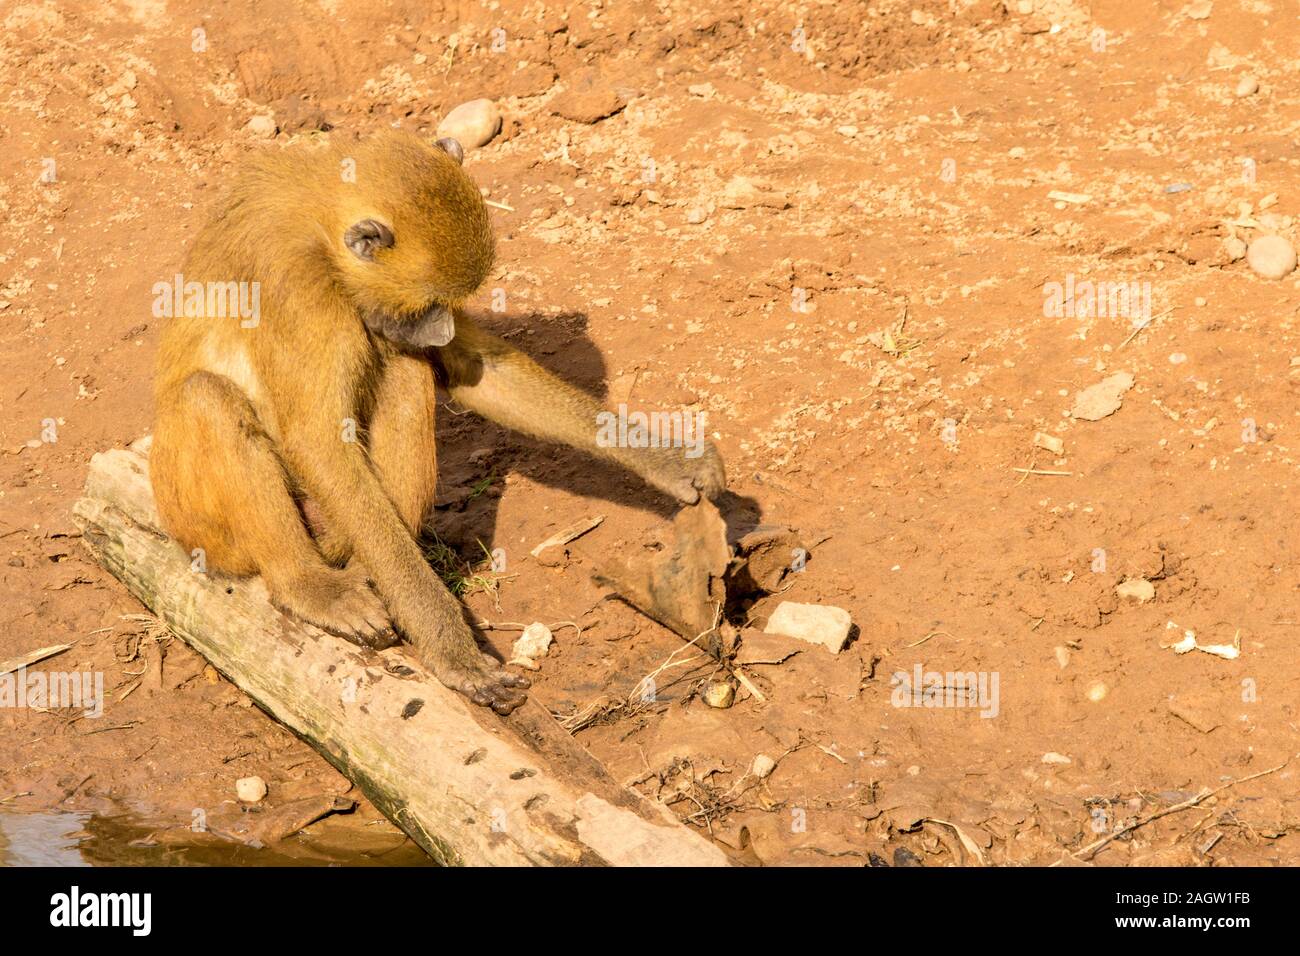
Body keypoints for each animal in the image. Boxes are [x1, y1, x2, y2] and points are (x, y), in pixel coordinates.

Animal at [150, 130, 725, 715]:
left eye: (450, 302)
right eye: (429, 303)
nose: (440, 330)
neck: (318, 219)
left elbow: (475, 369)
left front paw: (671, 460)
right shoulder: (298, 288)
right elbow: (317, 442)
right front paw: (453, 652)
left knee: (404, 367)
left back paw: (364, 570)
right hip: (198, 522)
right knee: (208, 398)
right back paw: (308, 586)